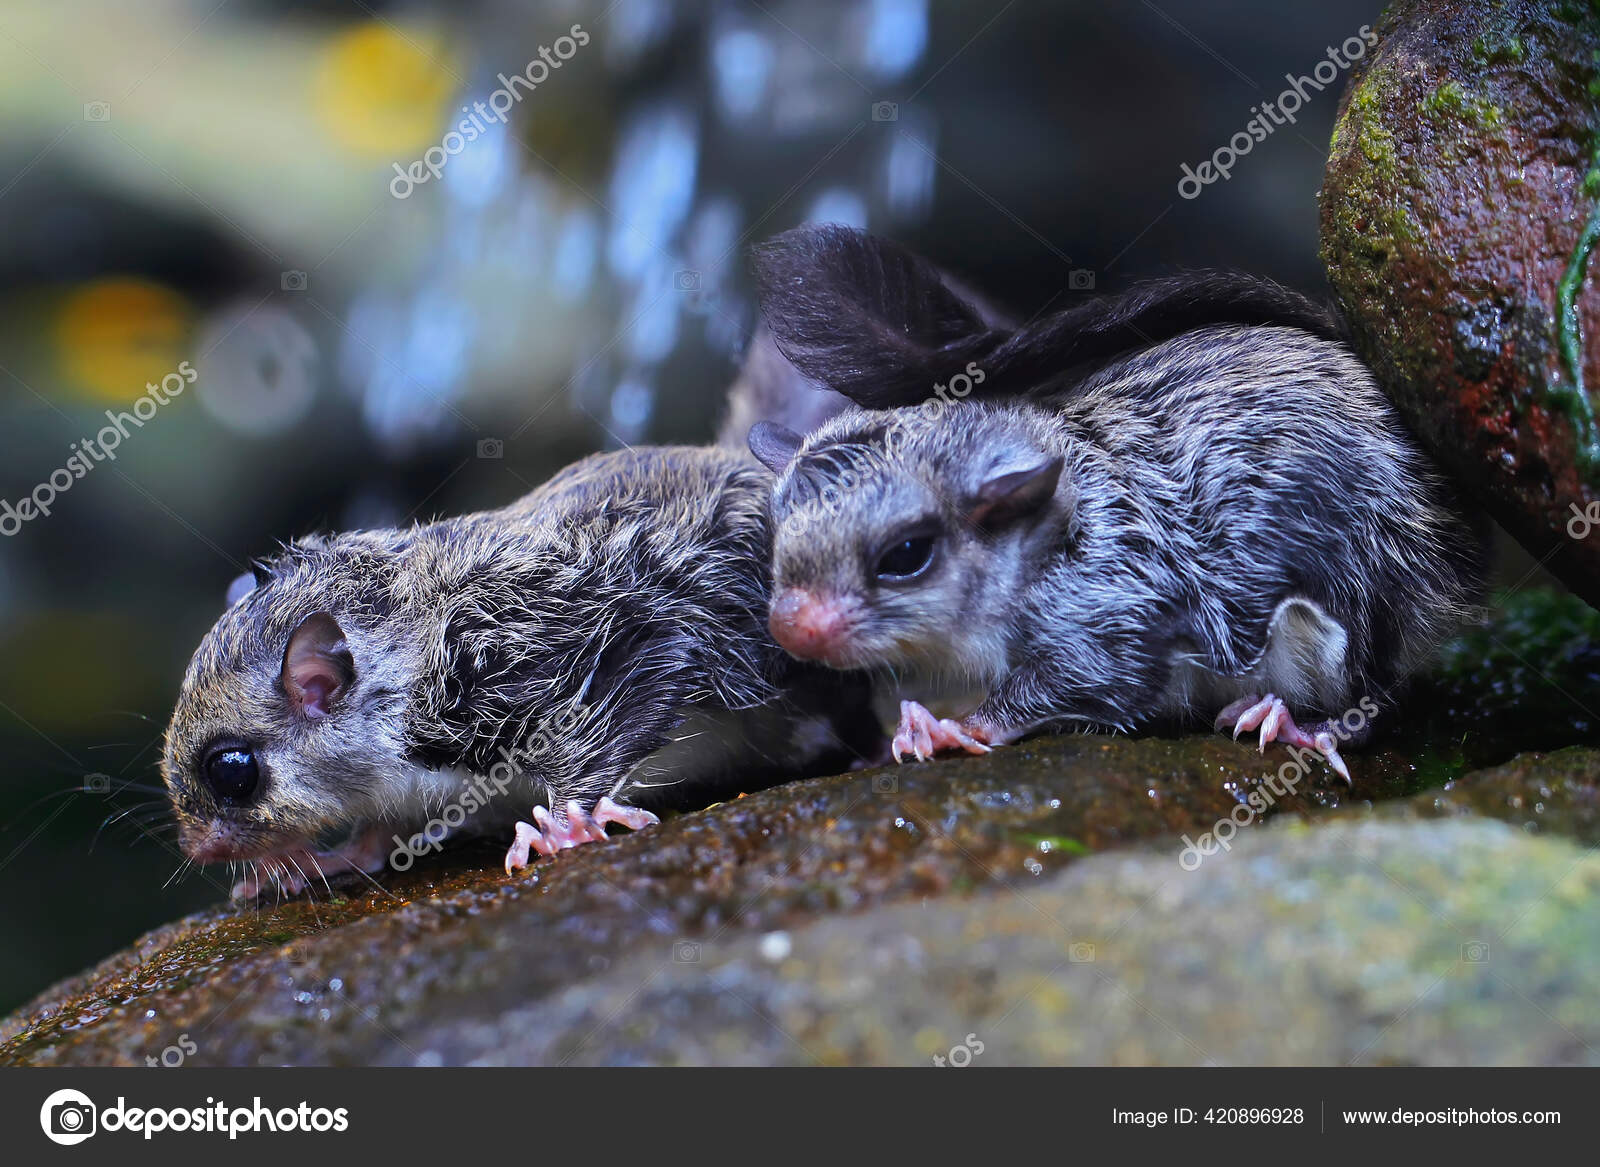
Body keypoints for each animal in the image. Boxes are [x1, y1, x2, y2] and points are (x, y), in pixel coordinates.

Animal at [746, 225, 1486, 779]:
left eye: (906, 554)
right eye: (777, 537)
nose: (789, 628)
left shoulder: (1113, 609)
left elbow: (1068, 687)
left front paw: (951, 725)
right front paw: (907, 730)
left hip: (1364, 586)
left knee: (1376, 691)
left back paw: (1298, 722)